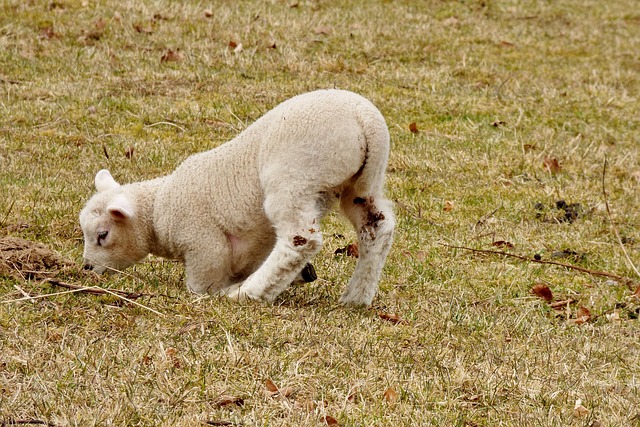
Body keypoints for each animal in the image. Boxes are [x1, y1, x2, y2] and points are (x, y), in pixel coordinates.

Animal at [79, 89, 395, 306]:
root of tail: (364, 119)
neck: (158, 207)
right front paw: (301, 278)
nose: (87, 268)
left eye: (102, 235)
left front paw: (220, 292)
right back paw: (356, 298)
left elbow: (201, 285)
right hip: (361, 185)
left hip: (295, 175)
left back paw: (248, 294)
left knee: (300, 240)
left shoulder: (203, 245)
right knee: (377, 227)